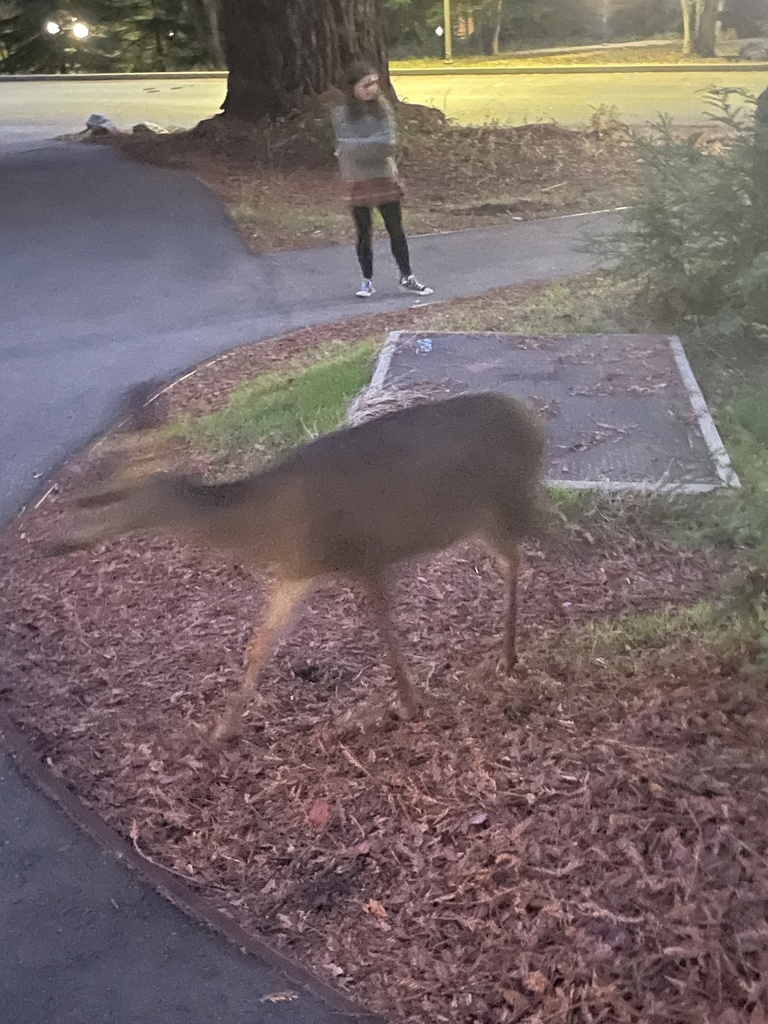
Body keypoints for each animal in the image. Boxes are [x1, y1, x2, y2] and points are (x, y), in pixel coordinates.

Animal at [43, 384, 547, 745]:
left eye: (115, 488)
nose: (55, 539)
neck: (270, 524)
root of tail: (532, 419)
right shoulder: (295, 575)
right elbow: (259, 646)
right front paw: (219, 732)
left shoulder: (364, 556)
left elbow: (385, 634)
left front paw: (406, 706)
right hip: (480, 520)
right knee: (514, 558)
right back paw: (507, 654)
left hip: (506, 502)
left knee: (537, 549)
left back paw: (518, 654)